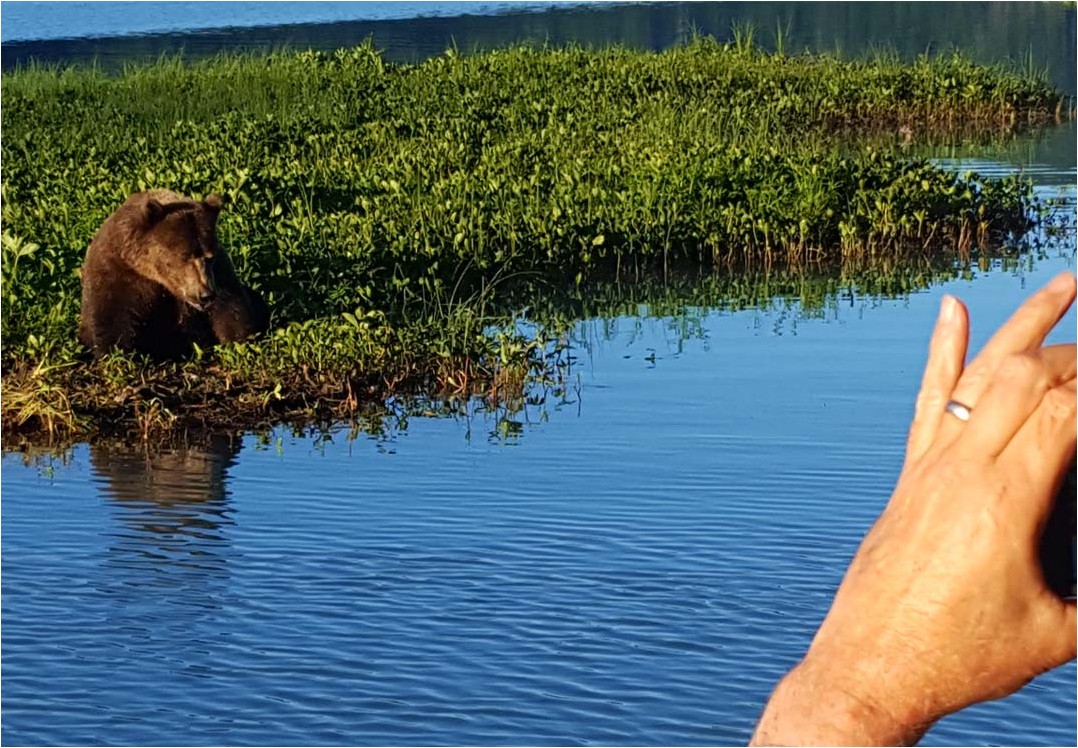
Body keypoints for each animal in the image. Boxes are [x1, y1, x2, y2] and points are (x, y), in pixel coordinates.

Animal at [78, 189, 269, 360]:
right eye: (184, 256)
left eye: (209, 257)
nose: (205, 294)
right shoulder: (117, 273)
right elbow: (112, 317)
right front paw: (116, 353)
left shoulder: (220, 274)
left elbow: (231, 309)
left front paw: (239, 342)